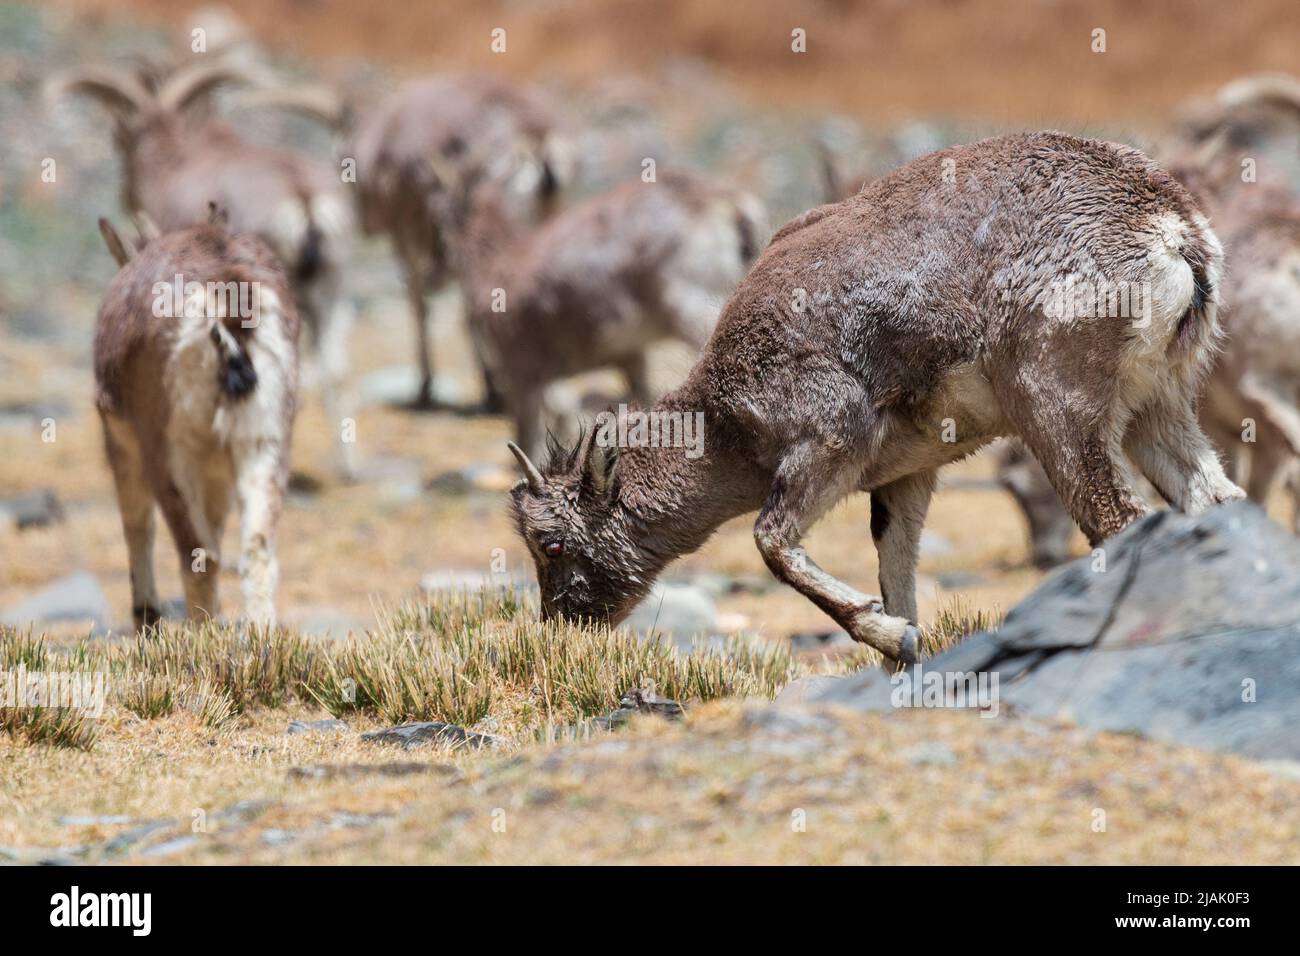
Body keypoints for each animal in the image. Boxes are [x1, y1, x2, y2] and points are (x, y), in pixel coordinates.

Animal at [49, 61, 357, 479]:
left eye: (119, 138)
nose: (125, 194)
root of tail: (304, 198)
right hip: (332, 288)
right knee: (334, 369)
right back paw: (348, 467)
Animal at [94, 211, 299, 628]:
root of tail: (228, 296)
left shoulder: (121, 442)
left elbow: (137, 523)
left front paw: (147, 617)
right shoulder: (218, 473)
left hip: (170, 451)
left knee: (197, 552)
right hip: (266, 440)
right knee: (256, 547)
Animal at [507, 132, 1243, 664]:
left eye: (551, 545)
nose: (564, 625)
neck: (726, 417)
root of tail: (1171, 229)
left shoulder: (828, 441)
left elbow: (771, 542)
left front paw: (889, 635)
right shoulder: (905, 474)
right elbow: (897, 570)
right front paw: (903, 651)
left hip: (1059, 407)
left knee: (1119, 520)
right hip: (1159, 403)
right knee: (1215, 503)